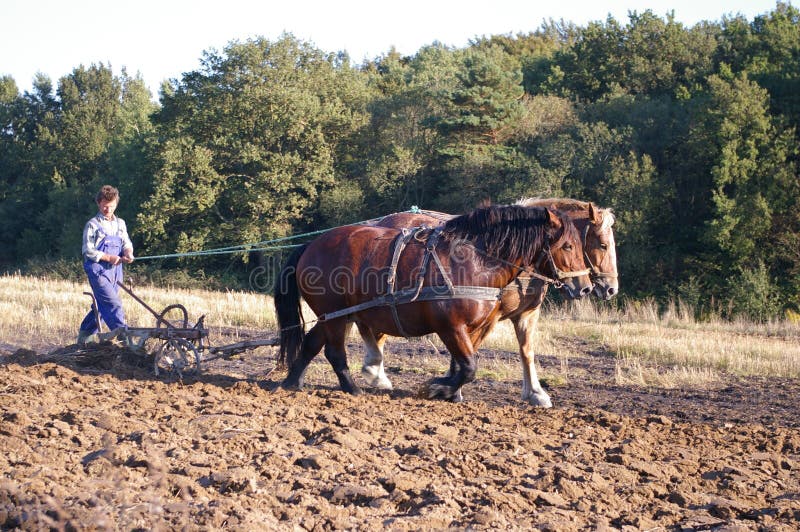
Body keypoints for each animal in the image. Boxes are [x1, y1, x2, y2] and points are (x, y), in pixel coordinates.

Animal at [274, 205, 593, 401]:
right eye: (568, 246)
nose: (585, 286)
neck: (475, 261)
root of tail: (311, 245)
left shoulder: (475, 327)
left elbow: (463, 365)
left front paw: (449, 392)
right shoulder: (450, 326)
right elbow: (469, 367)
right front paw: (436, 389)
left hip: (331, 315)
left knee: (311, 343)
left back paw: (291, 382)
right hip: (335, 314)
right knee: (335, 352)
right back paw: (352, 388)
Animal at [360, 198, 618, 407]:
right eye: (602, 244)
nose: (609, 288)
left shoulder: (526, 313)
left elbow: (526, 351)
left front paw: (535, 393)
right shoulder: (487, 316)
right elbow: (469, 351)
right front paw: (451, 389)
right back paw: (376, 374)